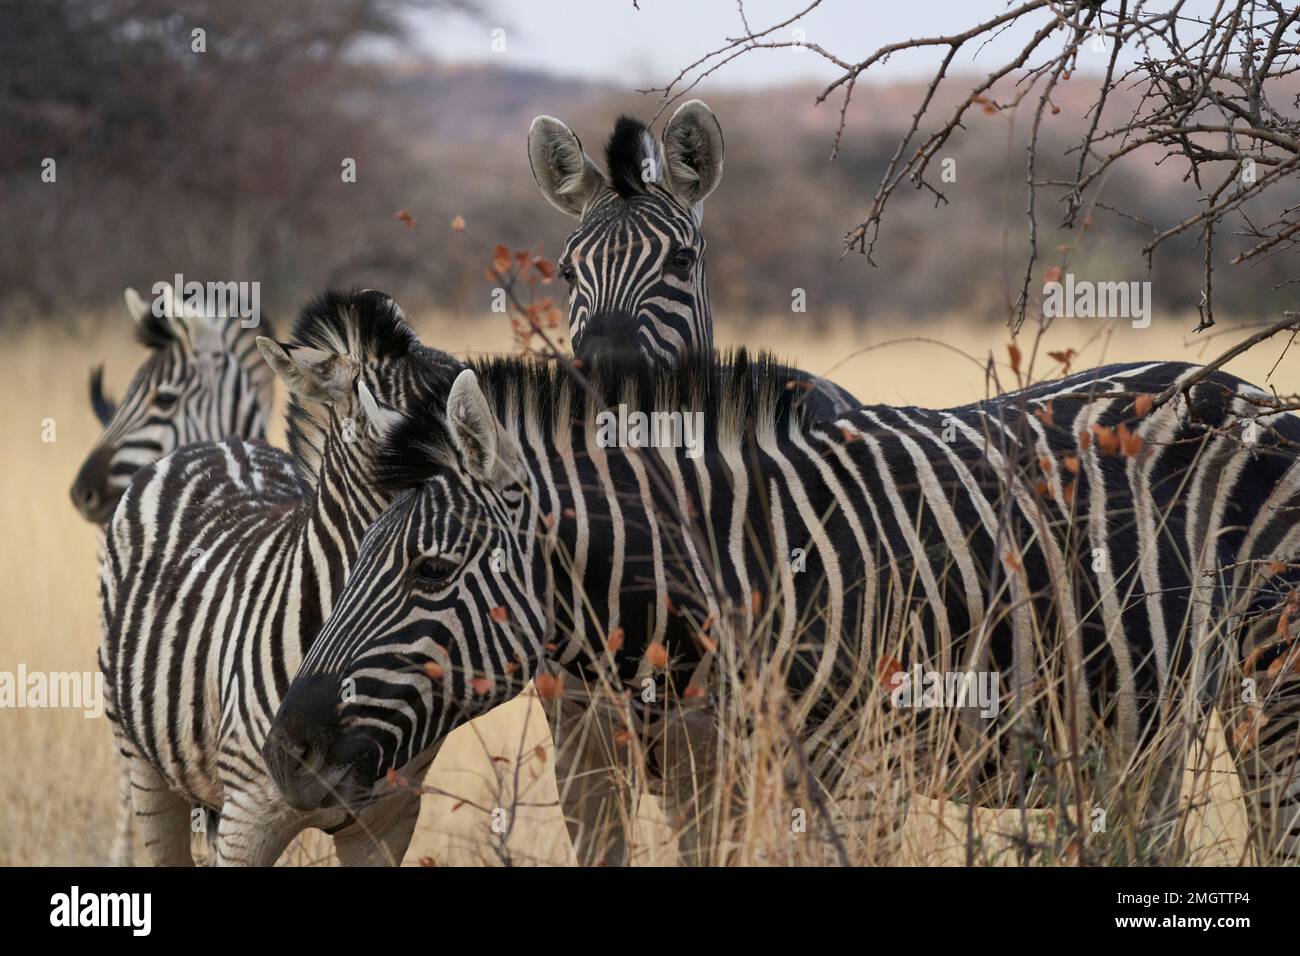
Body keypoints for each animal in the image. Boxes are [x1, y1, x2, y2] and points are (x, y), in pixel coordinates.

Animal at [264, 350, 1300, 865]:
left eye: (432, 571)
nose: (289, 754)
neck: (741, 567)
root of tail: (1244, 388)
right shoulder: (724, 775)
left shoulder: (871, 771)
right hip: (1147, 720)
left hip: (1270, 696)